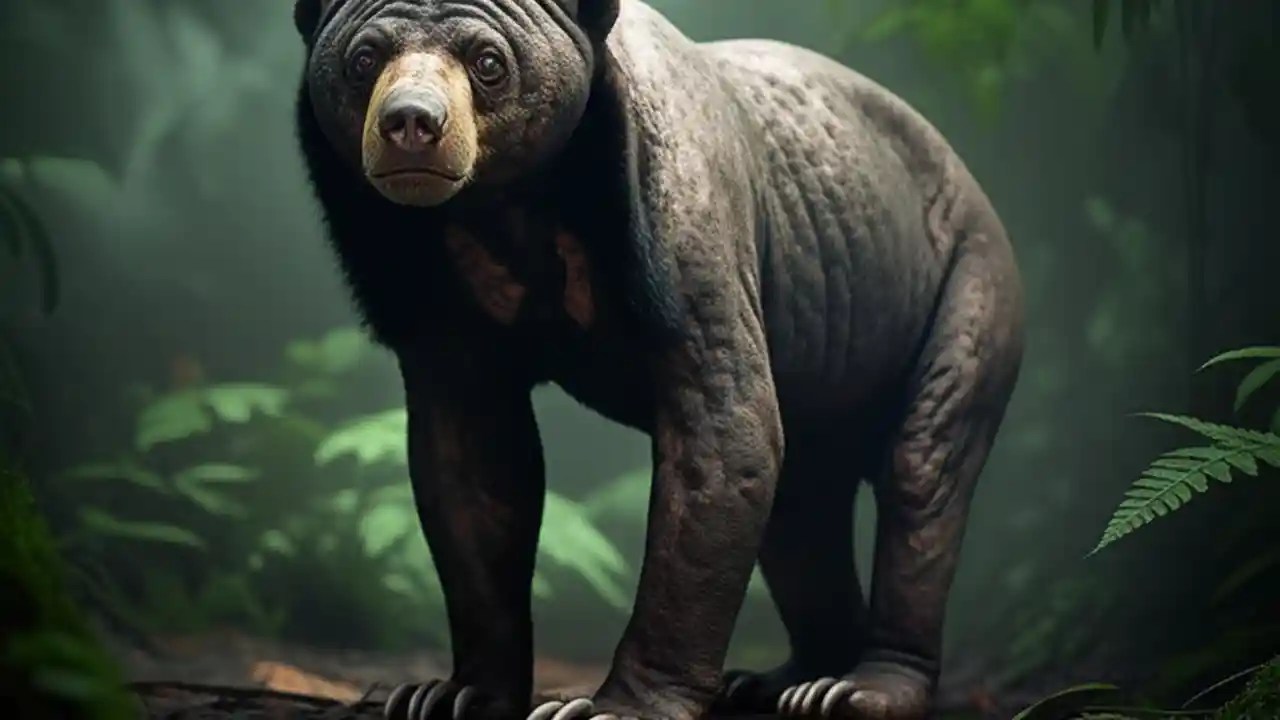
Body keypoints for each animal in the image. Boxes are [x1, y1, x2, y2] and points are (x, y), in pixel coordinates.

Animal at [291, 1, 1025, 719]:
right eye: (364, 59)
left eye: (488, 62)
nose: (411, 122)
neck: (509, 201)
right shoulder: (424, 279)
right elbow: (471, 471)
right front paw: (449, 694)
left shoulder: (681, 226)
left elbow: (724, 440)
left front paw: (611, 708)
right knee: (800, 503)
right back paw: (790, 683)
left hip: (970, 285)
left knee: (922, 469)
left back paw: (861, 690)